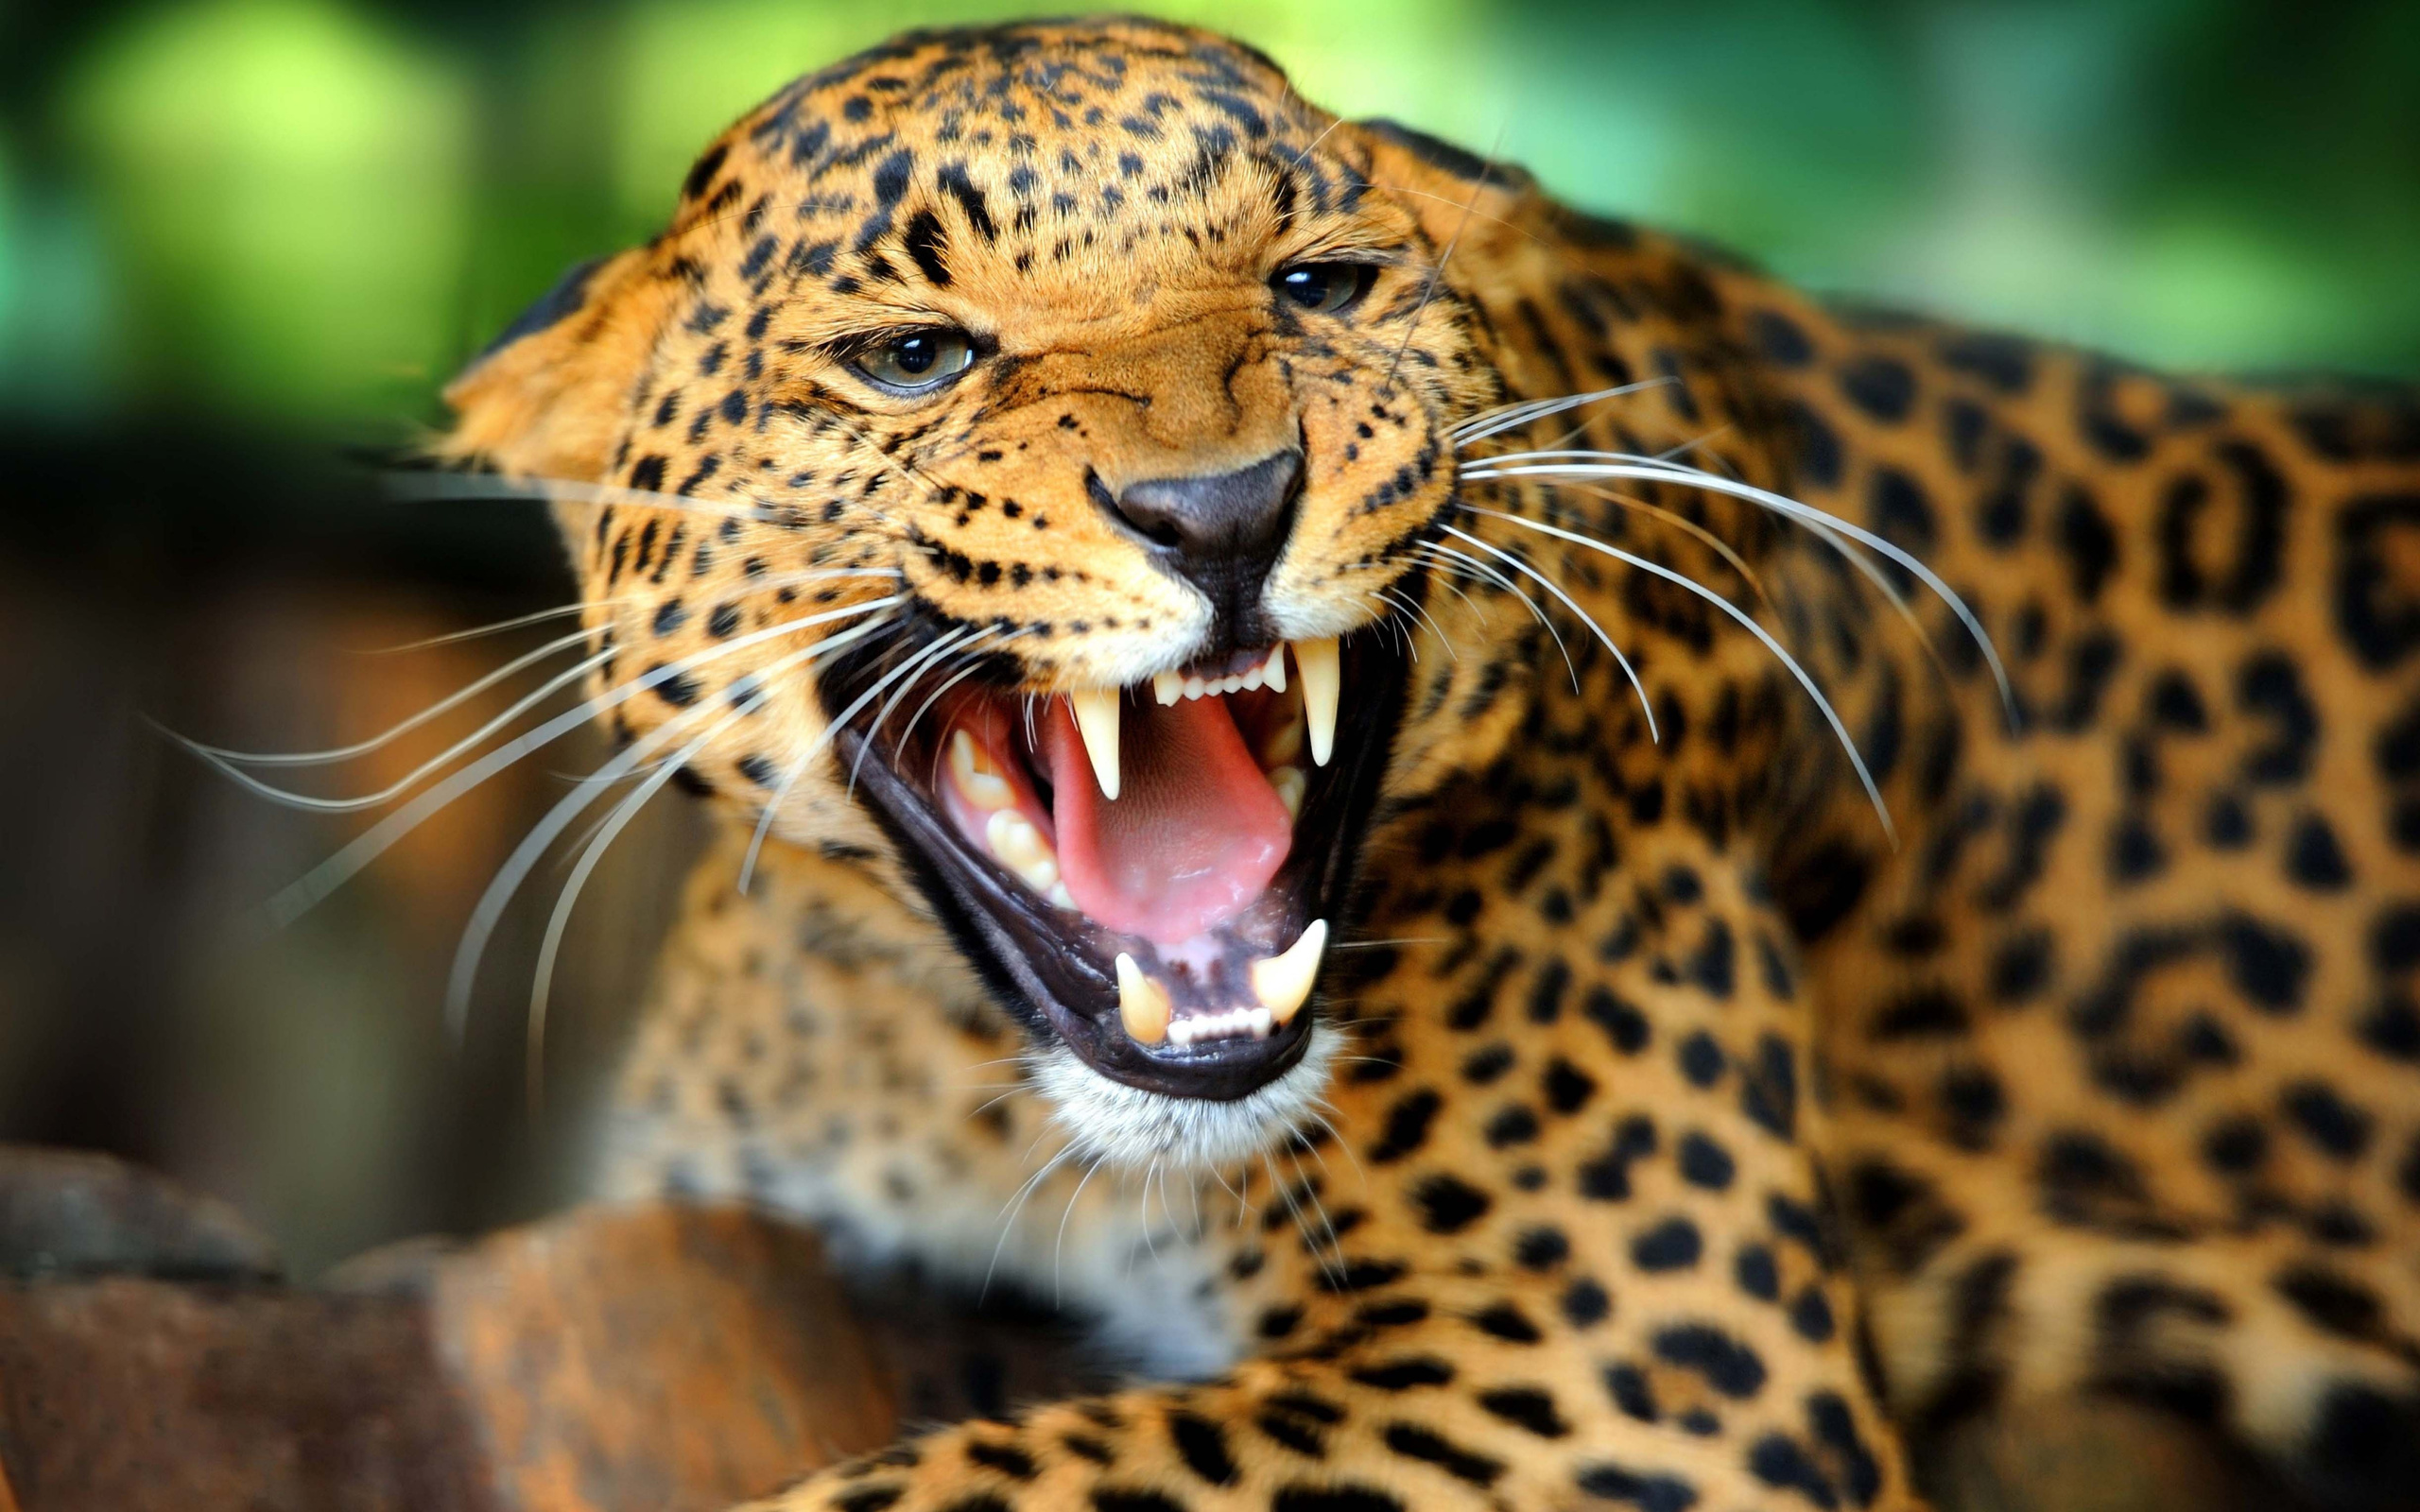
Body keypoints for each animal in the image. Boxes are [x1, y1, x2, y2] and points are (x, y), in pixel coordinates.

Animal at [433, 17, 2420, 1512]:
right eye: (916, 357)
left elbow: (965, 1482)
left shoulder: (1638, 1365)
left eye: (1322, 285)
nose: (1222, 510)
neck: (956, 1078)